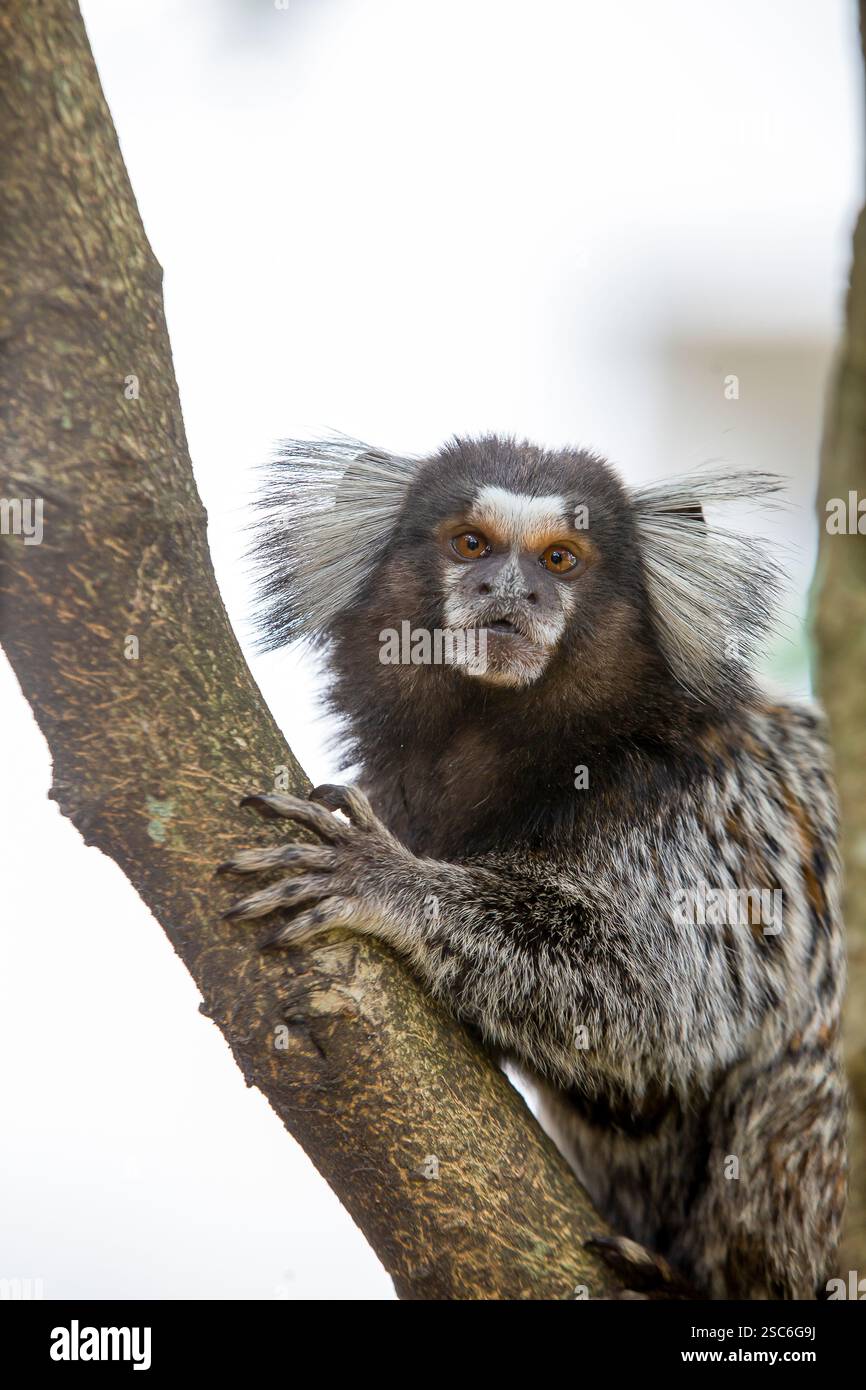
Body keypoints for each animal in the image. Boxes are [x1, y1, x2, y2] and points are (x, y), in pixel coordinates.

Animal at [220, 434, 847, 1300]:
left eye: (560, 559)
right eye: (470, 544)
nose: (509, 589)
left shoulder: (702, 817)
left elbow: (660, 1002)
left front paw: (388, 885)